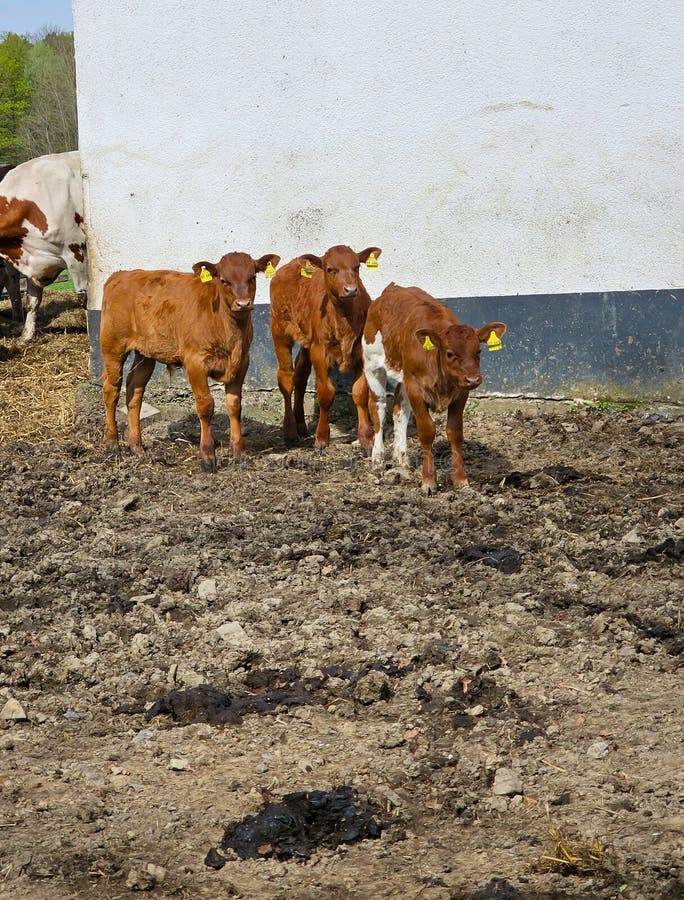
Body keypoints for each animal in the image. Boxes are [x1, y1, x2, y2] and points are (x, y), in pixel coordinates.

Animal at [100, 252, 280, 472]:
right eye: (224, 280)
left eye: (252, 277)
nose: (243, 304)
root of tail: (120, 275)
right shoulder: (195, 362)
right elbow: (205, 405)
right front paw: (208, 456)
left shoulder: (242, 362)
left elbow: (234, 405)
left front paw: (240, 453)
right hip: (112, 347)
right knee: (111, 390)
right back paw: (112, 443)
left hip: (146, 354)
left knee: (134, 391)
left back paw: (136, 447)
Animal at [269, 244, 381, 449]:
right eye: (330, 269)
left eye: (357, 267)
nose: (350, 290)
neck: (344, 319)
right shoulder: (320, 352)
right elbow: (325, 394)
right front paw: (321, 437)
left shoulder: (362, 354)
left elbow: (359, 393)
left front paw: (366, 437)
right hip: (280, 330)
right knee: (286, 378)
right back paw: (290, 431)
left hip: (307, 341)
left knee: (300, 374)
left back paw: (300, 424)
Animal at [359, 283, 506, 495]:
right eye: (450, 353)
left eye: (478, 351)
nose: (473, 379)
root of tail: (392, 289)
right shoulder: (415, 389)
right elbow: (427, 431)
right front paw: (428, 481)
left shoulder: (461, 393)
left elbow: (455, 432)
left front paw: (460, 480)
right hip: (373, 366)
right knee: (377, 408)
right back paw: (377, 457)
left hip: (404, 377)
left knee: (399, 411)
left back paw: (402, 457)